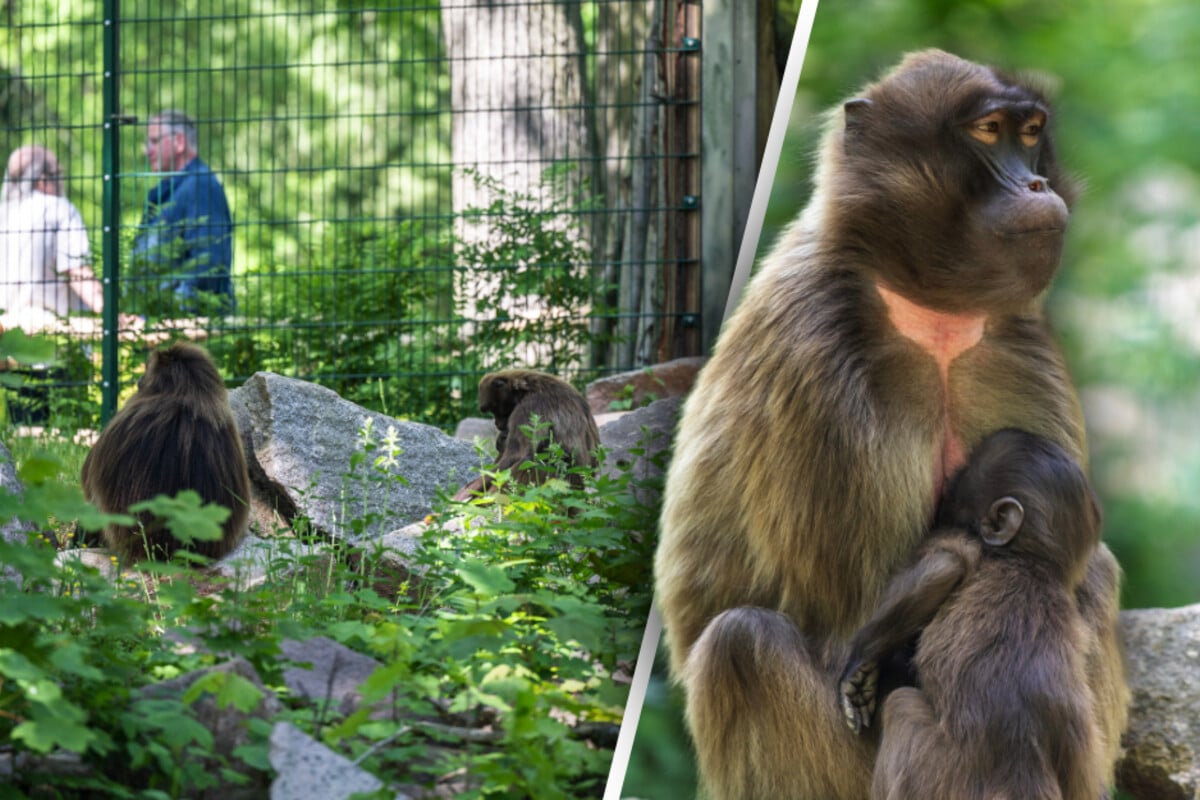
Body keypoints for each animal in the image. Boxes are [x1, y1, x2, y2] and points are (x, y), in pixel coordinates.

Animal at [453, 368, 600, 500]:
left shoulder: (529, 407)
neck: (527, 390)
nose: (497, 424)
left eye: (495, 409)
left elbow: (517, 456)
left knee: (530, 461)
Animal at [837, 429, 1107, 800]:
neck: (1033, 563)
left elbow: (946, 565)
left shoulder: (974, 548)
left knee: (901, 706)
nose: (946, 490)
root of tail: (1022, 773)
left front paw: (859, 669)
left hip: (935, 771)